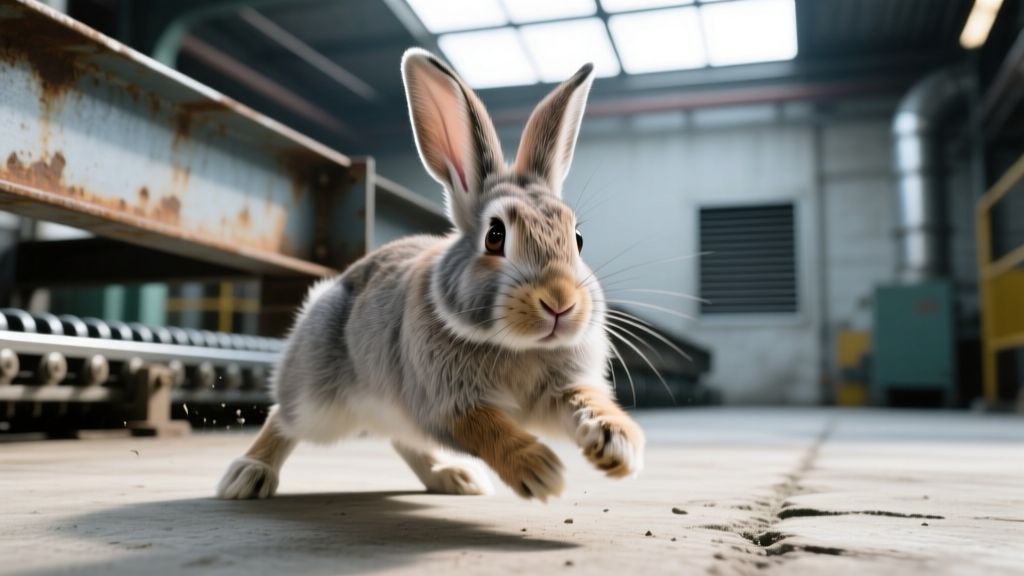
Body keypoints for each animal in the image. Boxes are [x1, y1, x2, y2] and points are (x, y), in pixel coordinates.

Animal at [216, 48, 645, 502]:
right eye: (495, 236)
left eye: (577, 238)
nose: (560, 303)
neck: (518, 347)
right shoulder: (446, 404)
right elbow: (487, 427)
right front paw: (540, 469)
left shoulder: (561, 389)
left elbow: (585, 400)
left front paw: (618, 445)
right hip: (317, 397)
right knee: (283, 416)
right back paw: (247, 475)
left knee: (403, 440)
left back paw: (454, 477)